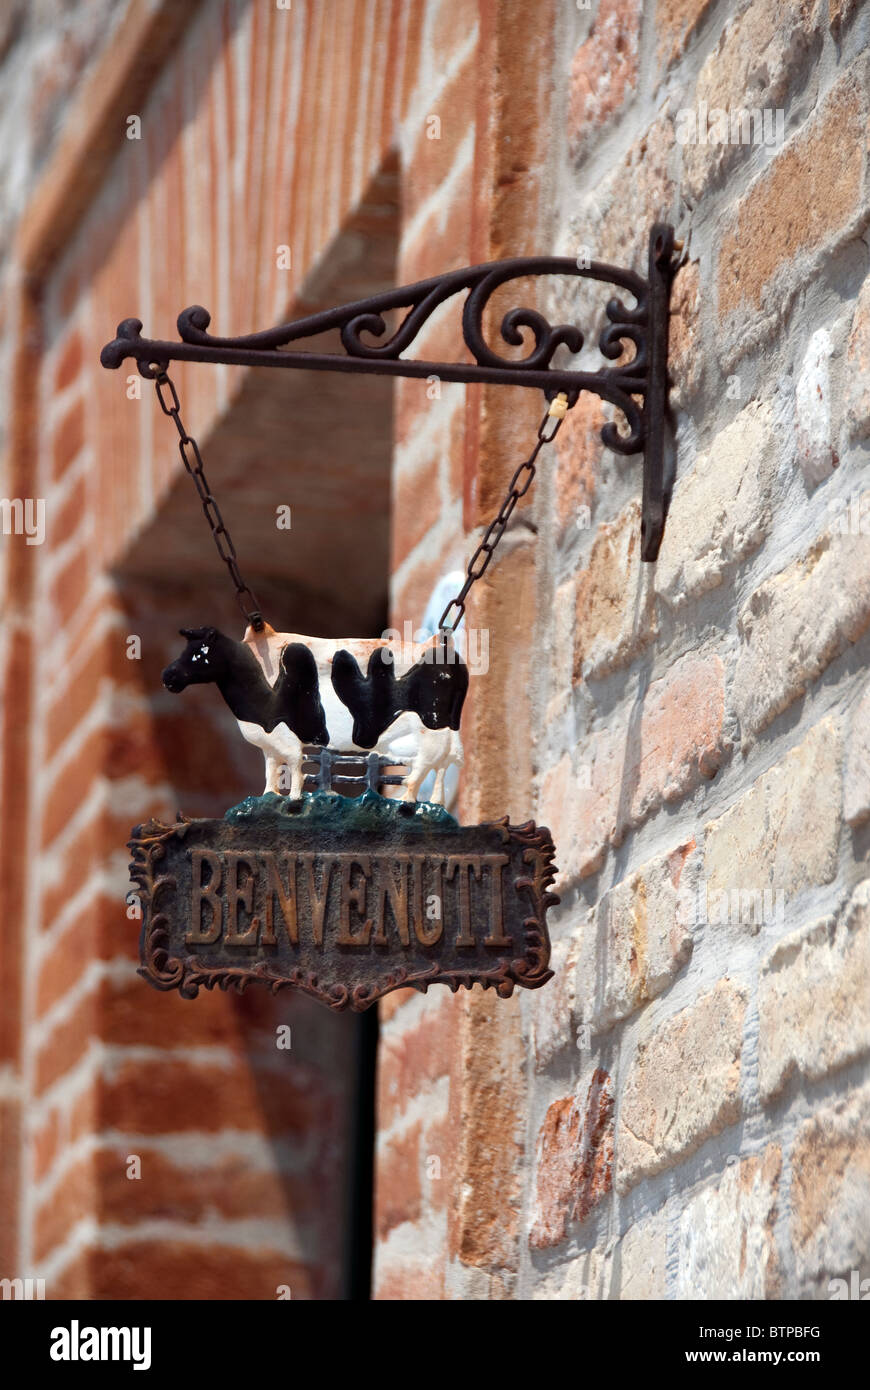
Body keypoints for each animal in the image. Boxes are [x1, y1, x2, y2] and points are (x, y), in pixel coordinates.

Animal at [161, 622, 467, 804]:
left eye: (199, 653)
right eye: (185, 649)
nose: (168, 676)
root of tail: (447, 654)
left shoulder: (288, 741)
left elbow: (296, 770)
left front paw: (293, 802)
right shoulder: (269, 745)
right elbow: (270, 772)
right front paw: (267, 799)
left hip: (430, 728)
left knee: (426, 764)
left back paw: (408, 798)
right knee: (441, 765)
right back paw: (433, 802)